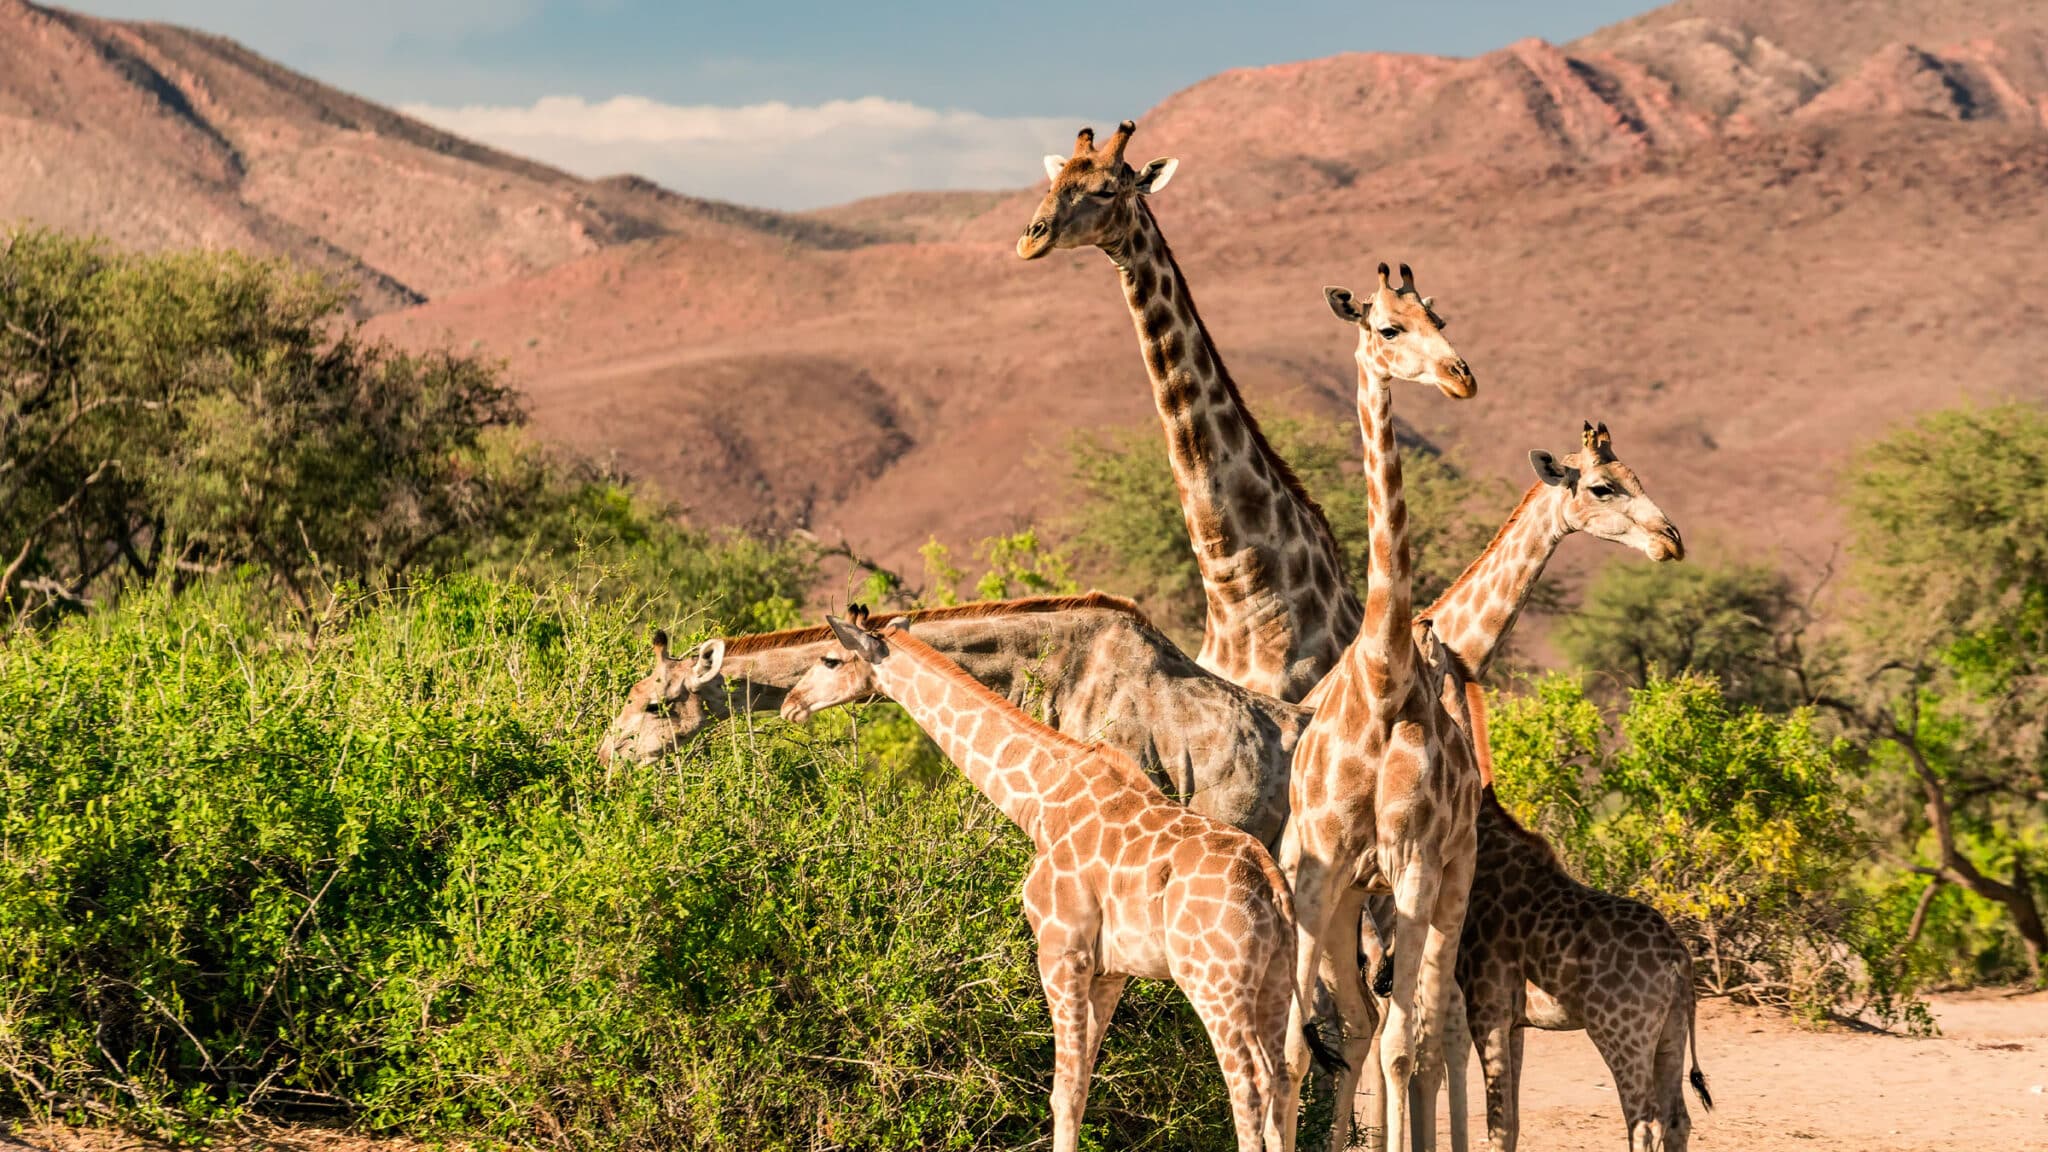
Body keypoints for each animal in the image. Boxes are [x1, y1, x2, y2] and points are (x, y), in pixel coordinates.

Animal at [780, 606, 1324, 1152]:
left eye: (829, 659)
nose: (790, 705)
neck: (1040, 800)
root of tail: (1273, 886)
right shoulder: (1110, 969)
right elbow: (1080, 1084)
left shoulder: (1061, 948)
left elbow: (1061, 1090)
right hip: (1275, 976)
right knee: (1281, 1077)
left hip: (1213, 979)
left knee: (1248, 1081)